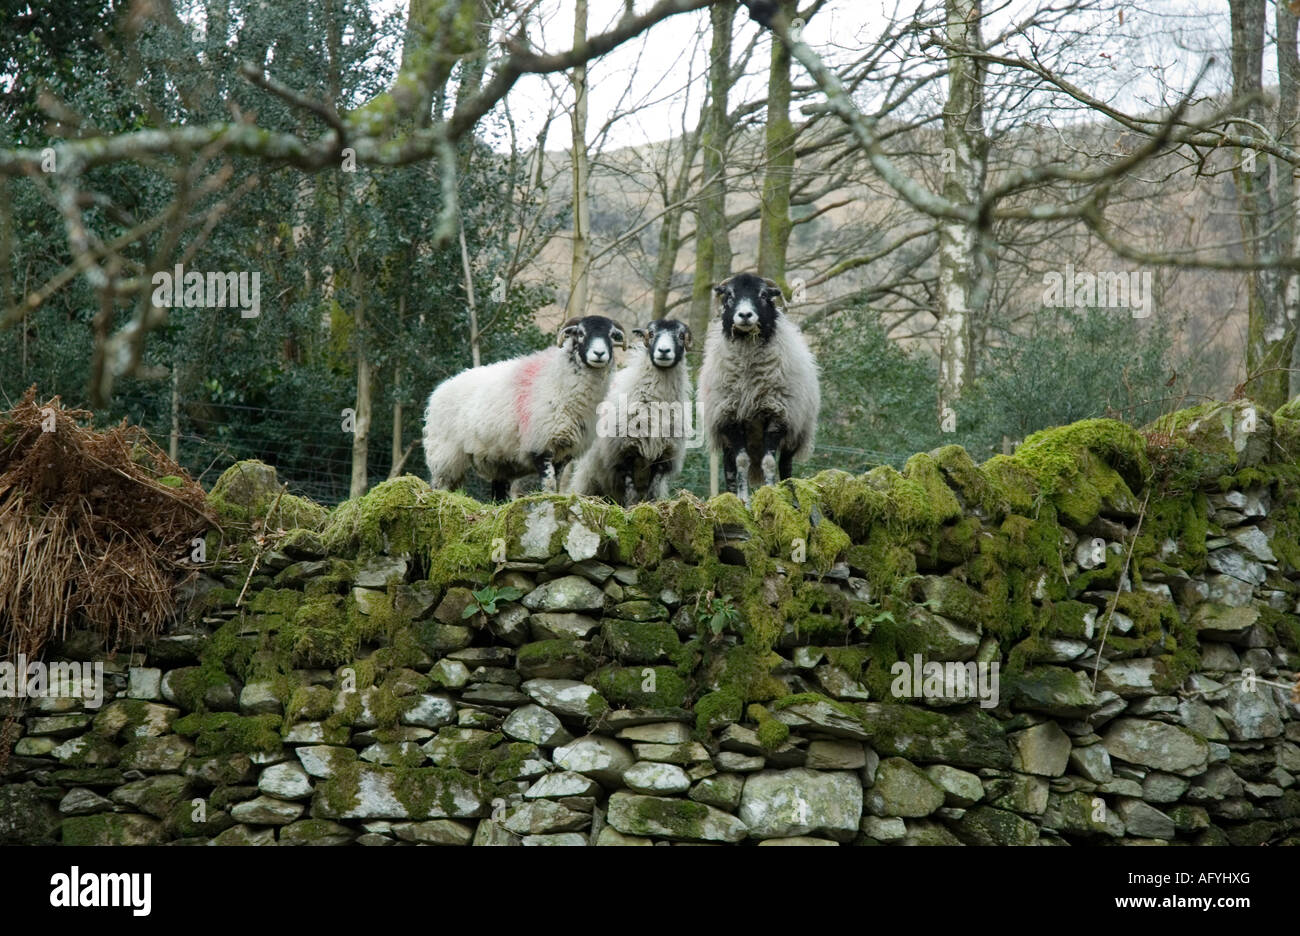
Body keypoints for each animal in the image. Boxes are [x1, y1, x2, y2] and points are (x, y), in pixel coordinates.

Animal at [422, 315, 627, 500]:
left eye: (611, 335)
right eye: (581, 333)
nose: (599, 354)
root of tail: (441, 388)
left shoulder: (564, 452)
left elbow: (557, 483)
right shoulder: (541, 444)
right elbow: (549, 484)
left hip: (499, 461)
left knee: (499, 495)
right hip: (445, 454)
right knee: (441, 484)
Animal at [565, 318, 694, 504]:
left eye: (681, 336)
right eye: (651, 334)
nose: (664, 351)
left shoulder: (664, 455)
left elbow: (653, 489)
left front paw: (650, 506)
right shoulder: (623, 453)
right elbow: (631, 489)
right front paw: (632, 507)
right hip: (590, 475)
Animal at [697, 272, 820, 504]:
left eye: (763, 295)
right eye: (729, 295)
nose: (745, 315)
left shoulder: (777, 414)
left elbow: (769, 462)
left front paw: (772, 493)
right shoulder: (730, 418)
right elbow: (741, 462)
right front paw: (743, 501)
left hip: (796, 430)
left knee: (785, 464)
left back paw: (789, 491)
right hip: (725, 437)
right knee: (729, 466)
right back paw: (730, 495)